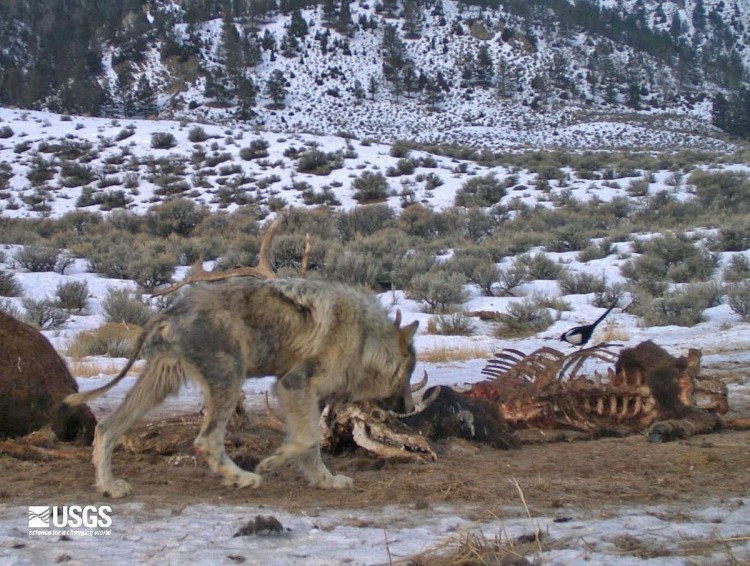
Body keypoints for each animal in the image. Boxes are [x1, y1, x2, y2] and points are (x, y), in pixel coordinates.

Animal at [64, 277, 419, 498]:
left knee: (107, 427)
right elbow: (306, 440)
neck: (365, 339)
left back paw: (109, 486)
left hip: (160, 386)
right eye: (410, 373)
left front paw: (325, 481)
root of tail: (172, 309)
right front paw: (272, 462)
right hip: (230, 380)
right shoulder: (293, 385)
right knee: (206, 441)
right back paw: (242, 478)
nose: (411, 408)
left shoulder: (306, 396)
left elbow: (310, 447)